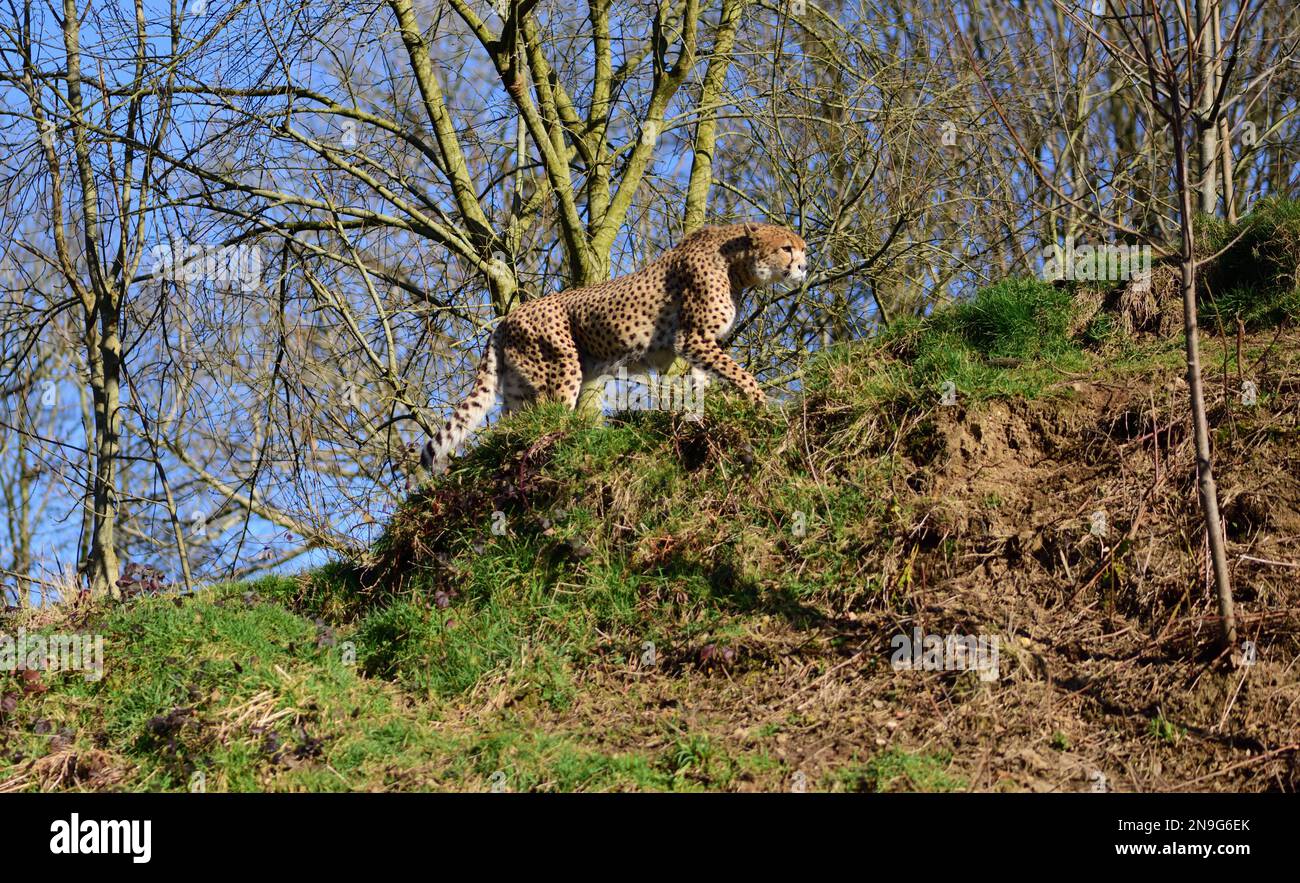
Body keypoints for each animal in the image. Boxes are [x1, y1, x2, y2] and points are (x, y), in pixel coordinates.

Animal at [420, 222, 809, 471]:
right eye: (786, 248)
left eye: (802, 248)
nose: (804, 266)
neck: (736, 264)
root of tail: (506, 318)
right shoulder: (692, 337)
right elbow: (739, 374)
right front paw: (760, 403)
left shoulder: (697, 346)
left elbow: (699, 384)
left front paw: (697, 420)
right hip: (562, 369)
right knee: (552, 417)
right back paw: (567, 445)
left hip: (520, 390)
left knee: (514, 429)